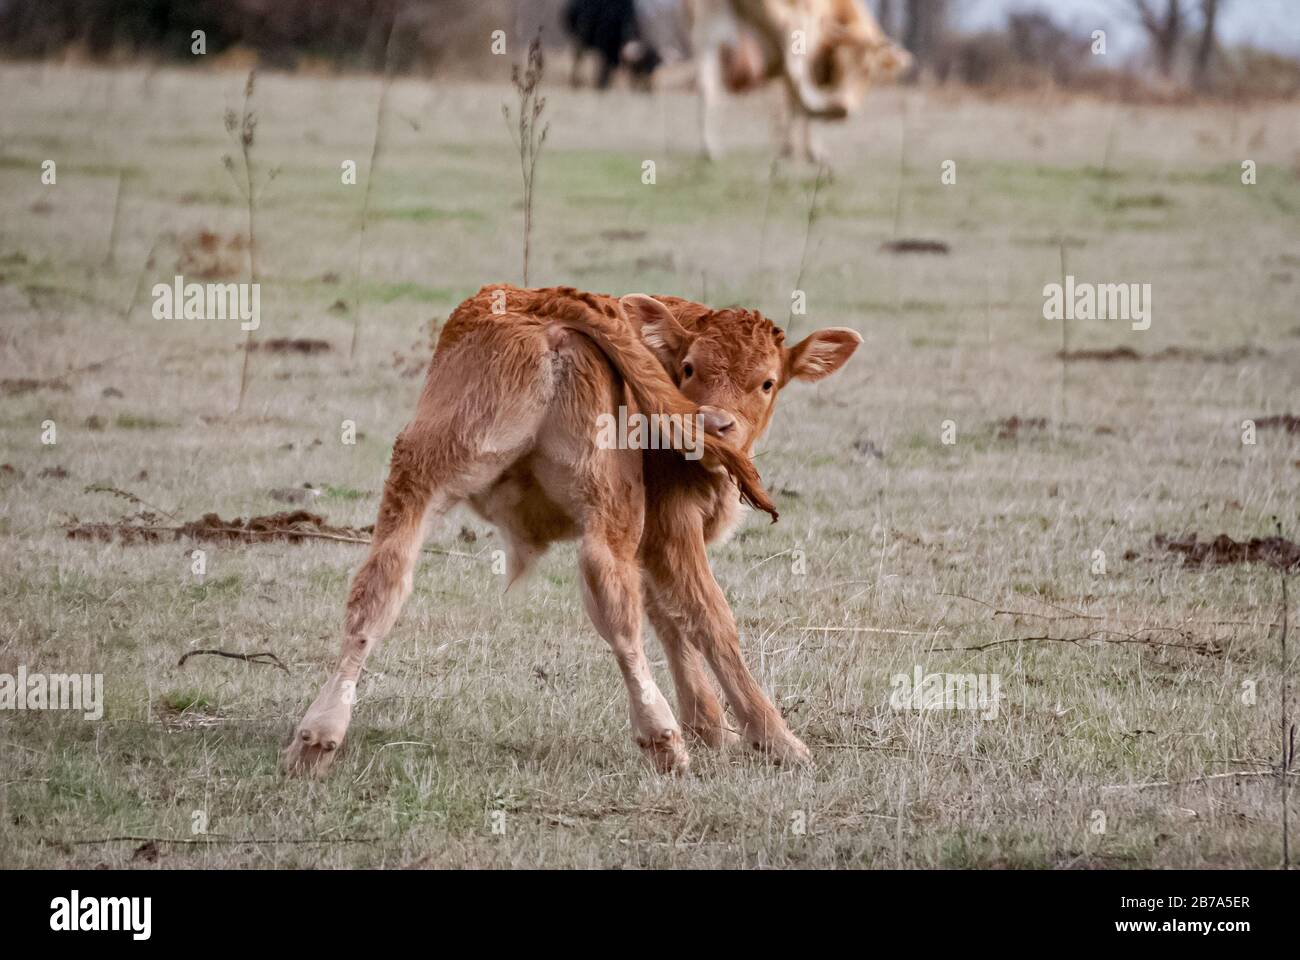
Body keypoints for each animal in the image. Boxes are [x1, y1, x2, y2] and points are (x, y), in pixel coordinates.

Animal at [282, 286, 860, 776]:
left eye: (767, 382)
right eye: (691, 367)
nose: (716, 424)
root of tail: (541, 304)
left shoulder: (653, 544)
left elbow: (670, 617)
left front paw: (710, 725)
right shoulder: (671, 525)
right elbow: (706, 618)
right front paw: (769, 738)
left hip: (424, 470)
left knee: (378, 588)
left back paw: (315, 739)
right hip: (611, 502)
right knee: (619, 608)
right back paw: (665, 740)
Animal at [689, 0, 912, 162]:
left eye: (868, 71)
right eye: (838, 65)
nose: (843, 108)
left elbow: (788, 104)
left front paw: (788, 146)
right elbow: (796, 105)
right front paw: (808, 151)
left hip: (707, 34)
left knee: (707, 89)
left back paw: (710, 150)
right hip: (794, 28)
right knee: (799, 83)